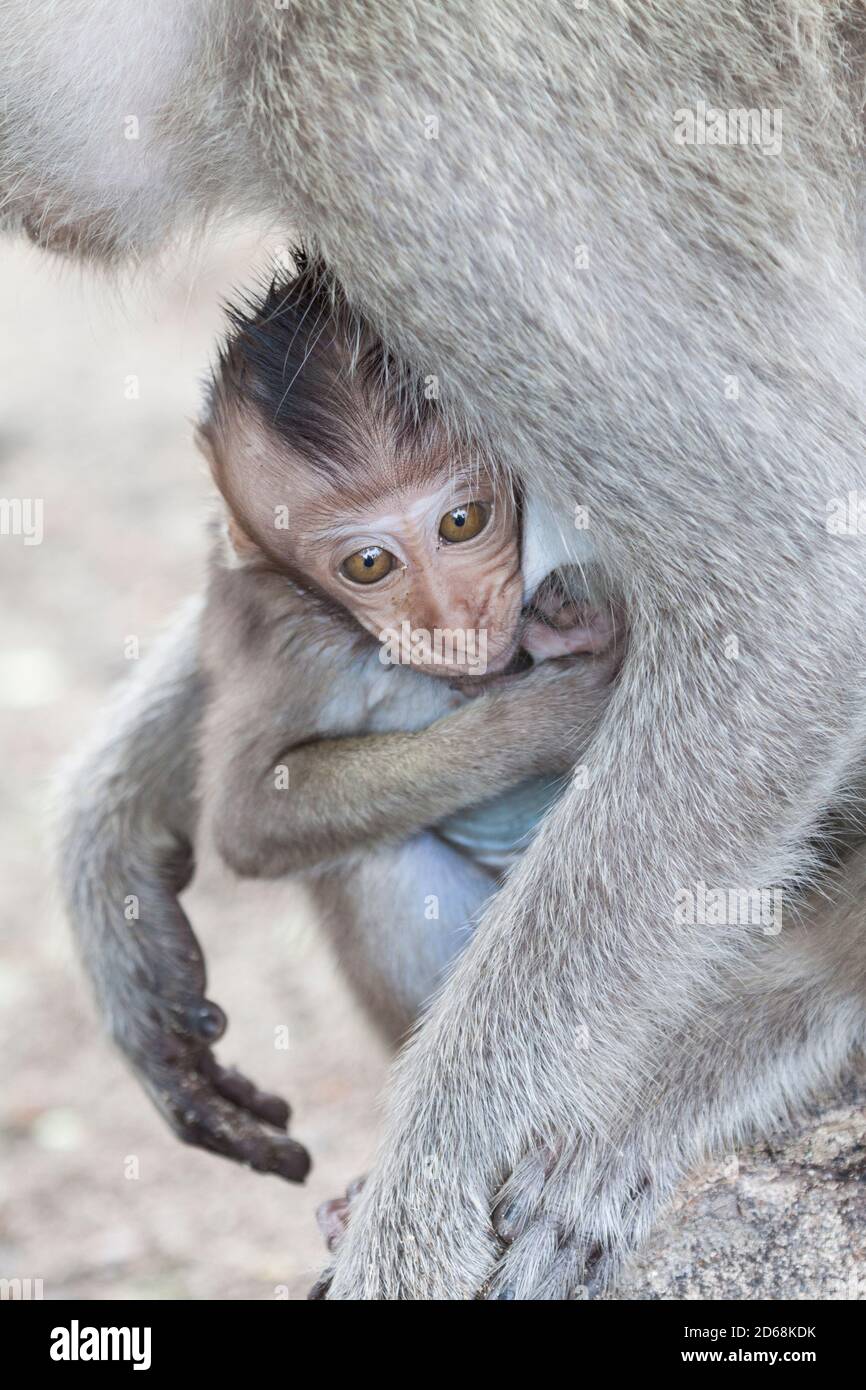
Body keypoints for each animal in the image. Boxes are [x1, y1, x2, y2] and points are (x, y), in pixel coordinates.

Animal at [59, 255, 621, 1189]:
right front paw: (550, 713)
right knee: (370, 857)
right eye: (368, 565)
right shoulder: (284, 635)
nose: (452, 614)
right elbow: (251, 813)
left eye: (462, 521)